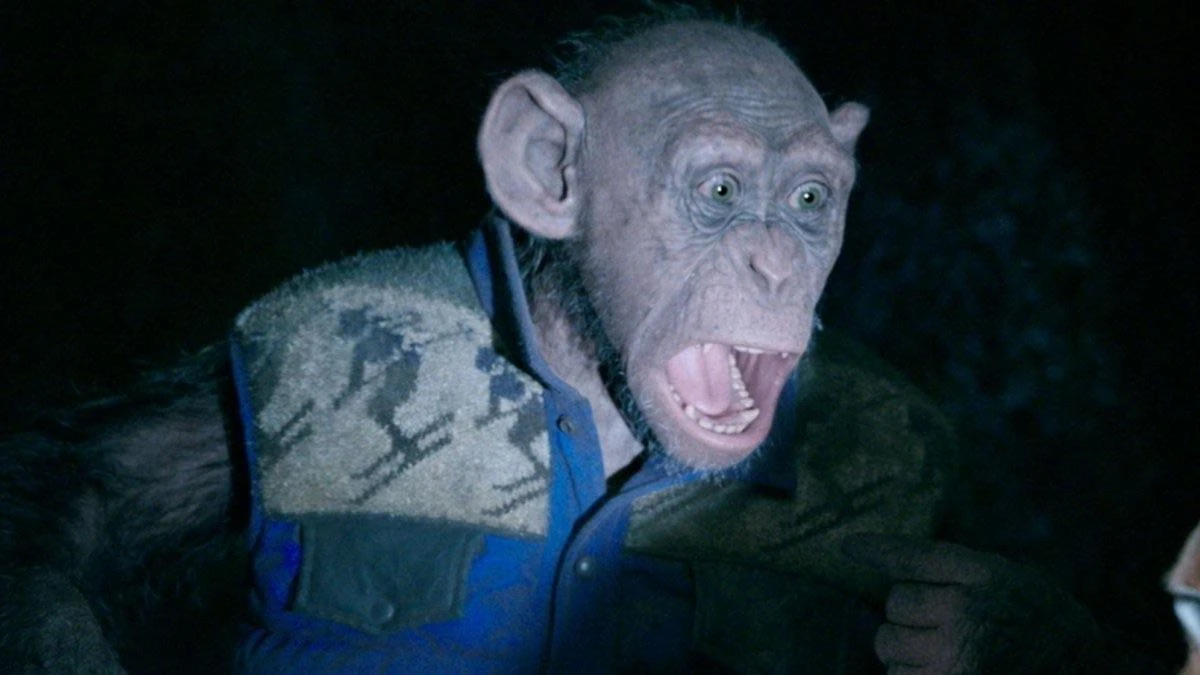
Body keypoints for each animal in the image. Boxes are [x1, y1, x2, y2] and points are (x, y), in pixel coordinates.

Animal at [0, 8, 1170, 675]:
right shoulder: (270, 340)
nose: (777, 264)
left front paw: (994, 627)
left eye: (808, 200)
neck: (597, 392)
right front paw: (64, 644)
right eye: (721, 192)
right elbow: (77, 508)